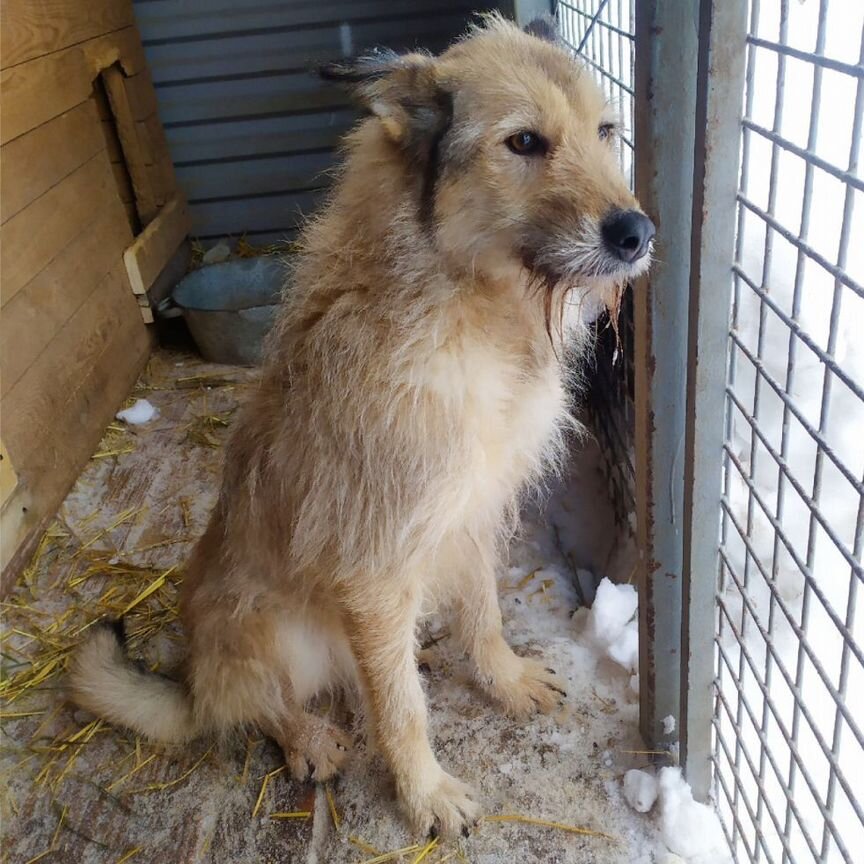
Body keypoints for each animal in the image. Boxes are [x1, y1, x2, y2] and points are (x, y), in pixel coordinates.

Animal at [71, 11, 652, 836]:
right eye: (525, 142)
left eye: (605, 130)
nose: (637, 233)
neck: (469, 308)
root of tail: (190, 673)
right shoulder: (373, 565)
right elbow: (402, 711)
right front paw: (425, 792)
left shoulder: (469, 514)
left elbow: (483, 616)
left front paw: (502, 678)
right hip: (269, 627)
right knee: (250, 704)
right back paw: (306, 735)